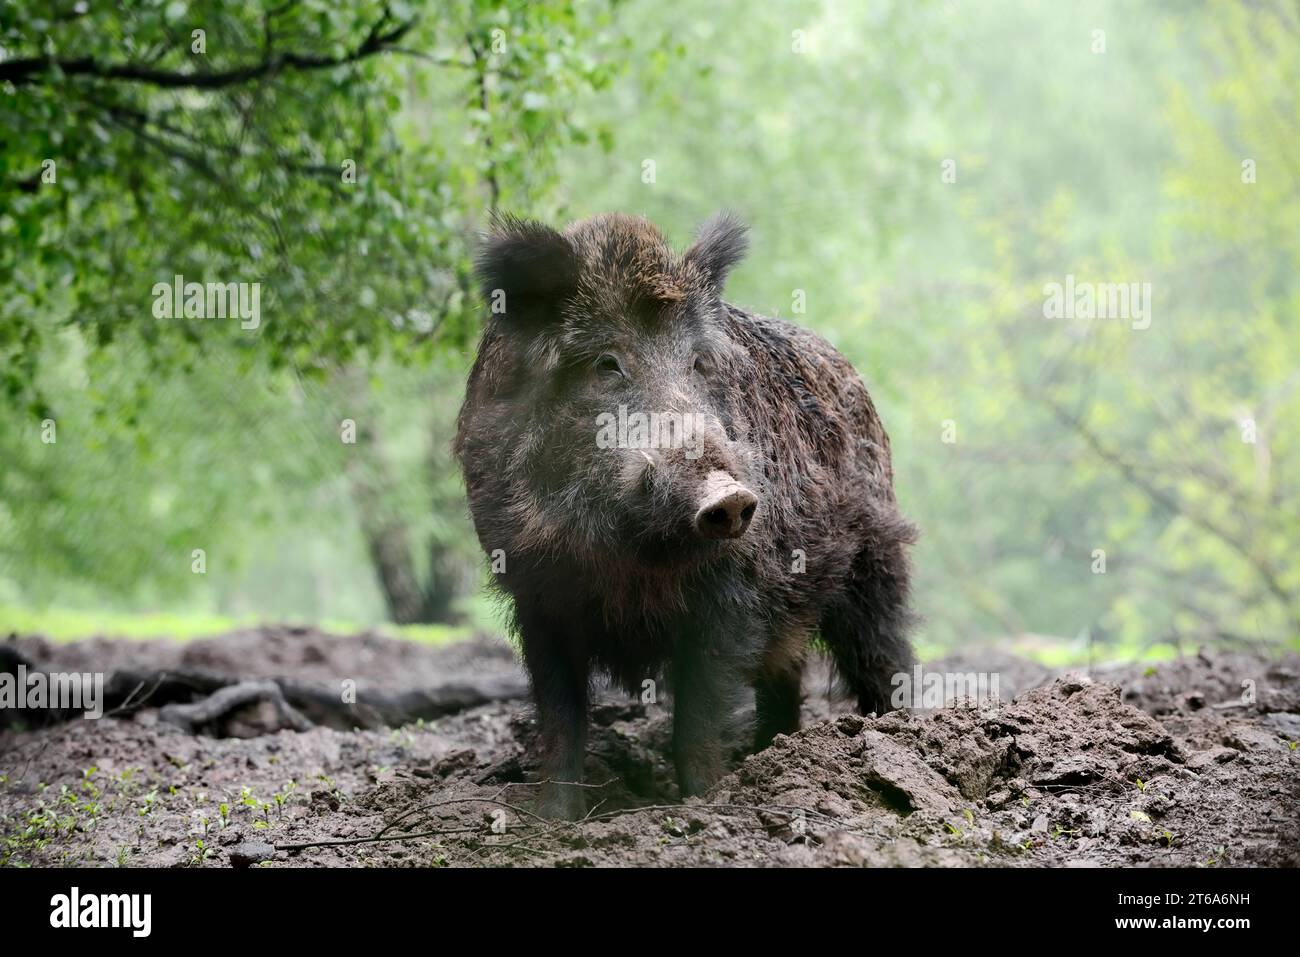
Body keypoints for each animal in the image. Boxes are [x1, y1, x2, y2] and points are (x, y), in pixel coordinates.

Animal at [455, 212, 917, 818]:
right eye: (607, 364)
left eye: (698, 363)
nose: (731, 496)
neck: (630, 557)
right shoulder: (535, 589)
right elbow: (560, 715)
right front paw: (554, 818)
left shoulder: (734, 591)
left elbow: (698, 714)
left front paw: (702, 803)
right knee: (786, 673)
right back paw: (772, 751)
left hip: (876, 554)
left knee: (883, 649)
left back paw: (895, 736)